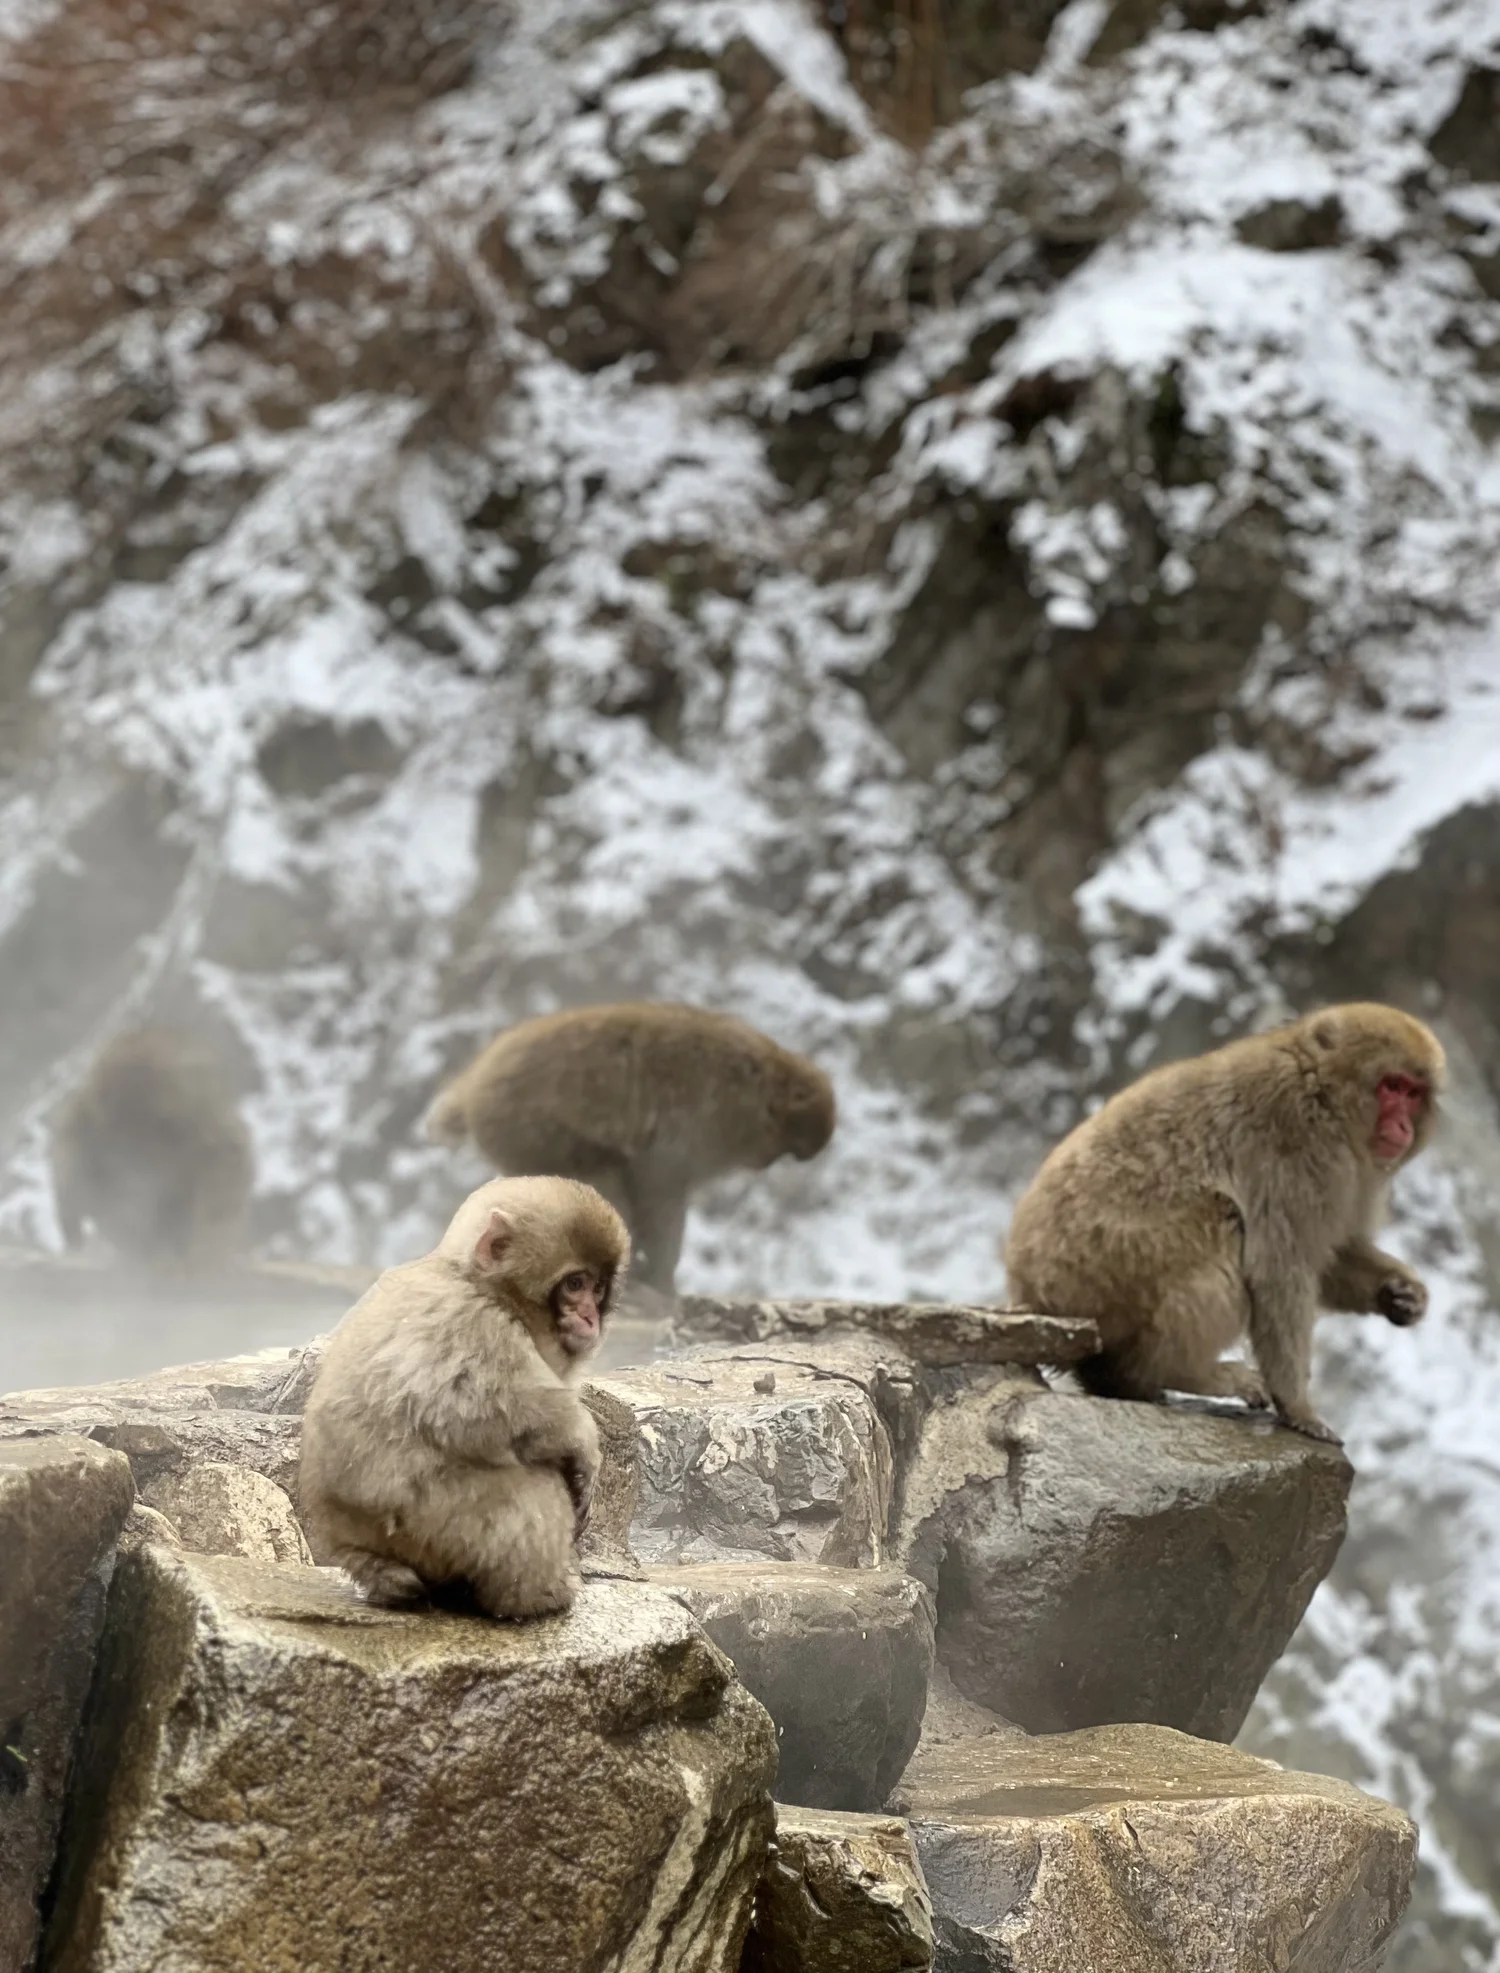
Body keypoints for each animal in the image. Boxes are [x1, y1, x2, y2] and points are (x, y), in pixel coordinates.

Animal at [298, 1175, 628, 1619]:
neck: (477, 1281)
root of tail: (350, 1543)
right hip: (441, 1524)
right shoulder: (479, 1324)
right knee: (532, 1484)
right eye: (575, 1284)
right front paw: (584, 1445)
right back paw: (534, 1598)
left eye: (598, 1288)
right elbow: (481, 1407)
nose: (590, 1318)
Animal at [426, 1003, 835, 1295]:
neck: (756, 1083)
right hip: (529, 1132)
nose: (767, 1161)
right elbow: (659, 1185)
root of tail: (474, 1085)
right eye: (789, 1148)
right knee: (598, 1177)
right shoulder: (696, 1124)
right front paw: (663, 1275)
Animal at [1004, 1003, 1446, 1444]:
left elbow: (1332, 1257)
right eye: (1392, 1086)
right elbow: (1281, 1270)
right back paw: (1178, 1373)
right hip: (1104, 1276)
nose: (1404, 1127)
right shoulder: (1297, 1153)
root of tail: (1030, 1289)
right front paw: (1298, 1407)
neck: (1322, 1095)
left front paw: (1400, 1293)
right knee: (1221, 1220)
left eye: (1413, 1093)